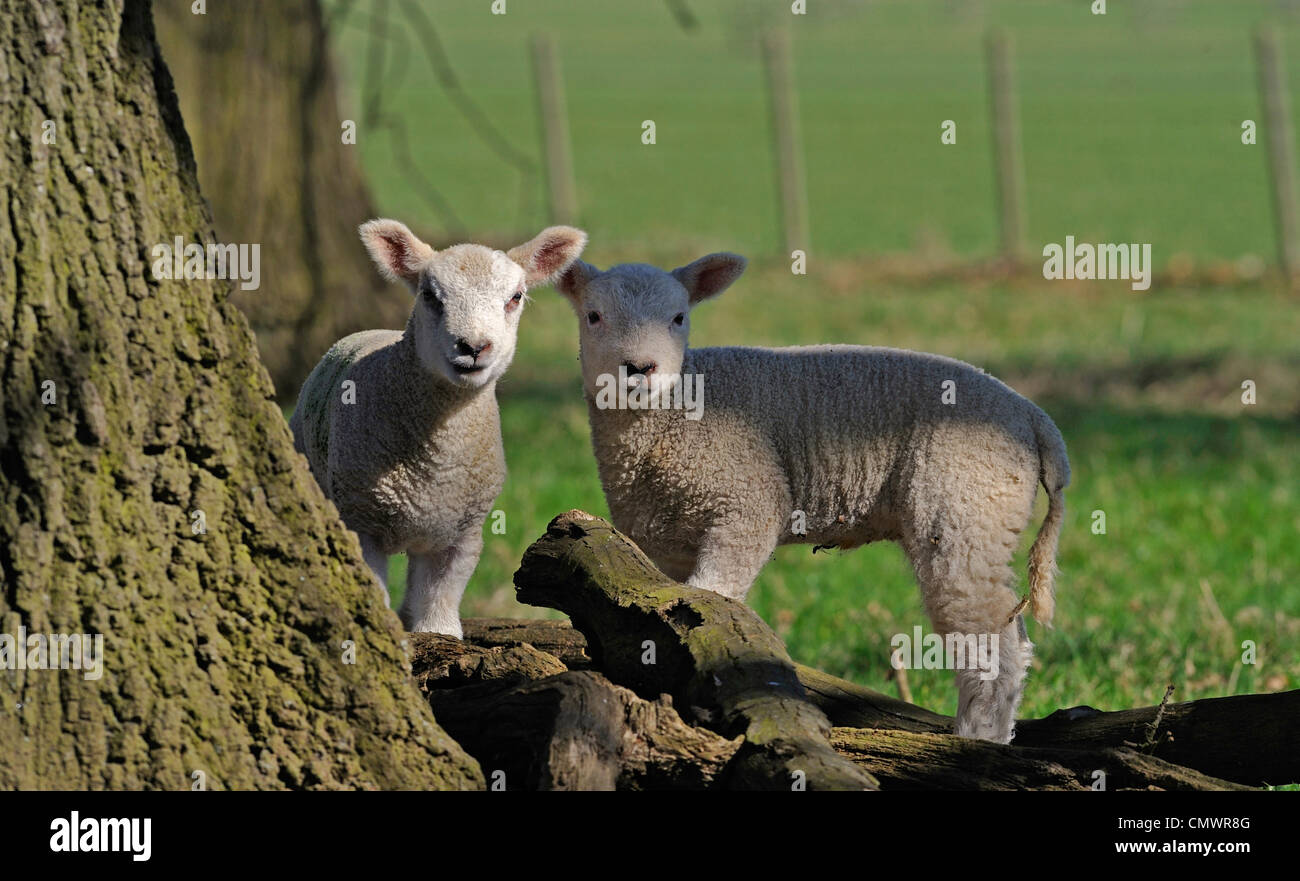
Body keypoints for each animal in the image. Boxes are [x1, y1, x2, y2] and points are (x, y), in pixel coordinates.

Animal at [291, 219, 587, 636]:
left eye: (515, 297)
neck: (433, 467)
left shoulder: (461, 535)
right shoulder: (360, 521)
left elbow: (440, 602)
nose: (473, 346)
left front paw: (436, 632)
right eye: (430, 295)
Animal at [555, 254, 1070, 743]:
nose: (640, 370)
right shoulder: (666, 541)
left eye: (679, 318)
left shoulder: (746, 501)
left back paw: (977, 741)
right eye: (593, 316)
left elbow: (715, 598)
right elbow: (672, 610)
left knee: (990, 645)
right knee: (1013, 635)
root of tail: (1033, 417)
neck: (674, 414)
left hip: (966, 503)